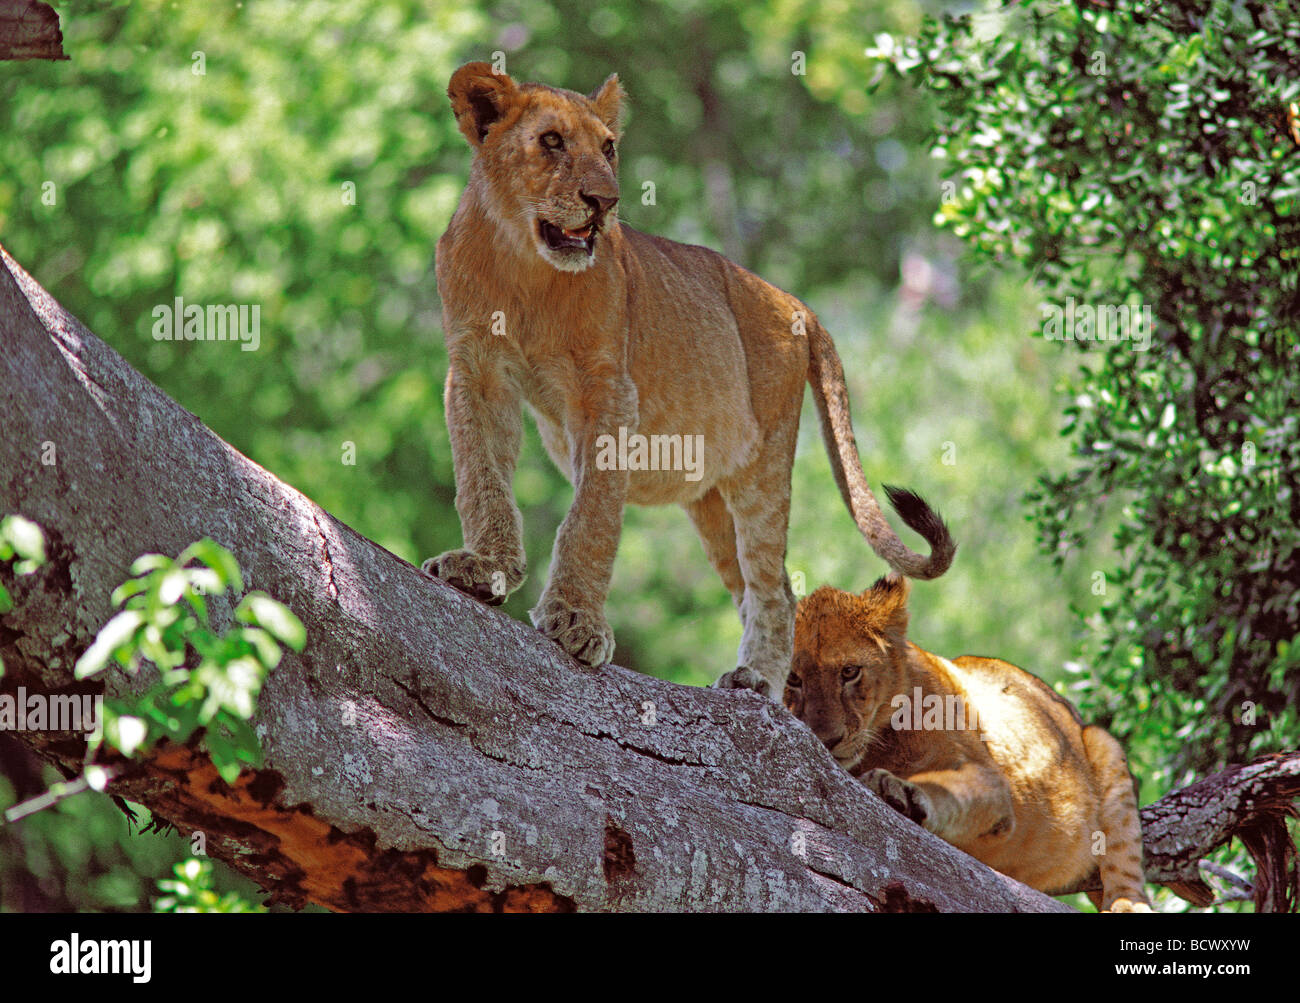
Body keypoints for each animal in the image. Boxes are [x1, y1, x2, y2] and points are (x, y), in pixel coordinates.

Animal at [424, 61, 954, 699]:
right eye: (551, 141)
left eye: (609, 148)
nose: (605, 201)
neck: (525, 264)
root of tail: (796, 303)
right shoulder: (477, 372)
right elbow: (482, 477)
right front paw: (484, 569)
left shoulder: (609, 390)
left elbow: (591, 517)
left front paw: (576, 621)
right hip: (708, 498)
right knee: (767, 587)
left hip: (763, 465)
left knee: (774, 586)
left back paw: (758, 682)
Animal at [787, 574, 1152, 911]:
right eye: (793, 679)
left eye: (850, 671)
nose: (828, 739)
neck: (879, 746)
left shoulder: (990, 782)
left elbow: (945, 790)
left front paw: (900, 791)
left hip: (1104, 747)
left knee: (1125, 866)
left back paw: (1126, 903)